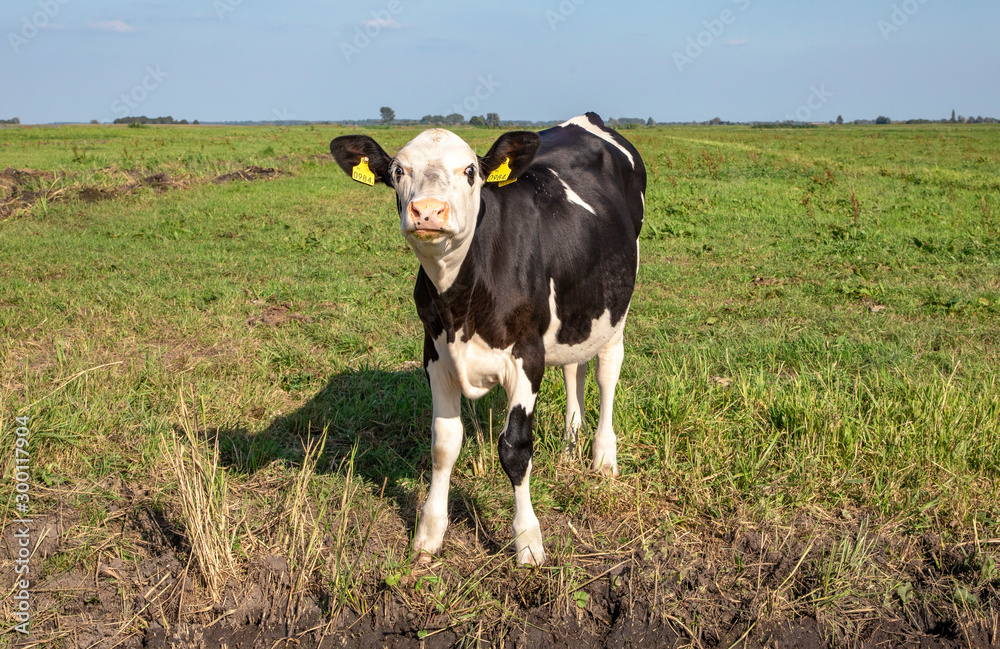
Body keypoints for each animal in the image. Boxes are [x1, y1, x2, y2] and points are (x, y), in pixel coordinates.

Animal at [329, 112, 645, 565]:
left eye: (470, 171)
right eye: (398, 171)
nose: (428, 210)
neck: (460, 302)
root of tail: (587, 119)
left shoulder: (526, 357)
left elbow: (515, 448)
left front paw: (528, 541)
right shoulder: (435, 355)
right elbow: (443, 445)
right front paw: (429, 534)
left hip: (617, 308)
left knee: (606, 372)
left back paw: (603, 456)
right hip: (575, 307)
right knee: (574, 368)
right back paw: (571, 441)